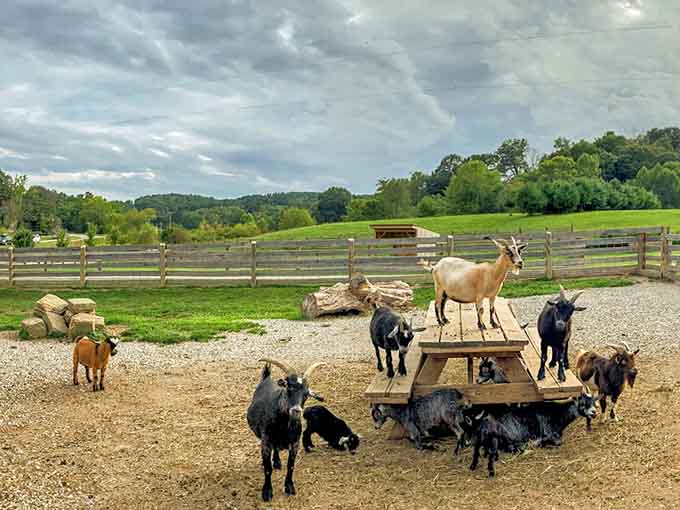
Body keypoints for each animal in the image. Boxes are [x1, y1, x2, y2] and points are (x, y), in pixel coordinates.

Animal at [246, 358, 325, 502]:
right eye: (289, 388)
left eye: (306, 394)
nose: (296, 411)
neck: (284, 426)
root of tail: (267, 377)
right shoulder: (266, 441)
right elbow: (268, 468)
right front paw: (267, 492)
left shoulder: (295, 443)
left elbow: (291, 466)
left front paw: (289, 487)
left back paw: (277, 462)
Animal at [469, 391, 597, 477]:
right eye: (582, 403)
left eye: (593, 402)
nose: (594, 413)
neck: (558, 414)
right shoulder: (550, 433)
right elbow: (557, 442)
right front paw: (541, 443)